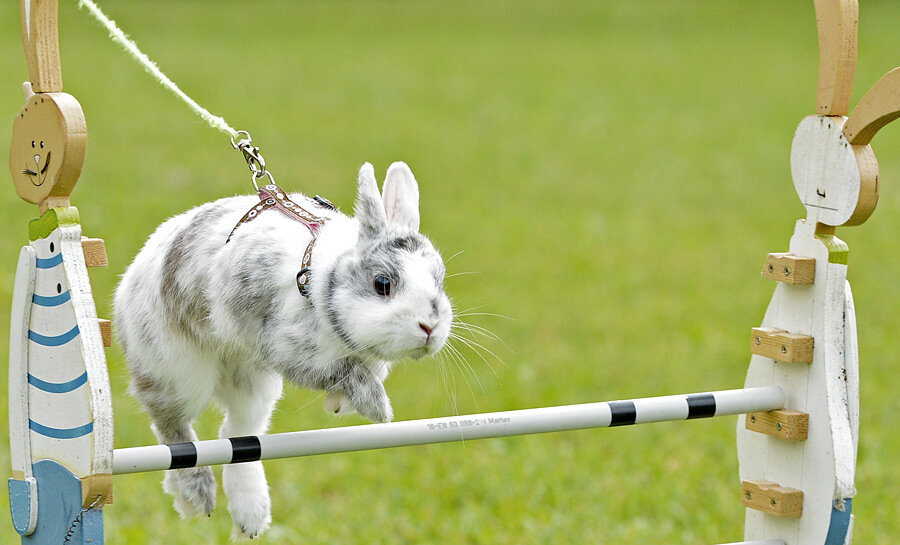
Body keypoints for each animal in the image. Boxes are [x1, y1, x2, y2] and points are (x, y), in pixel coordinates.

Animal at [114, 160, 450, 536]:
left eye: (439, 279)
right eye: (382, 284)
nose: (430, 327)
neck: (317, 277)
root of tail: (128, 283)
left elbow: (365, 371)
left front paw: (340, 405)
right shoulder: (288, 349)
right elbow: (349, 372)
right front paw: (377, 409)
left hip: (253, 386)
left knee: (238, 437)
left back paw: (251, 515)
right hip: (178, 375)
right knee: (174, 431)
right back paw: (196, 495)